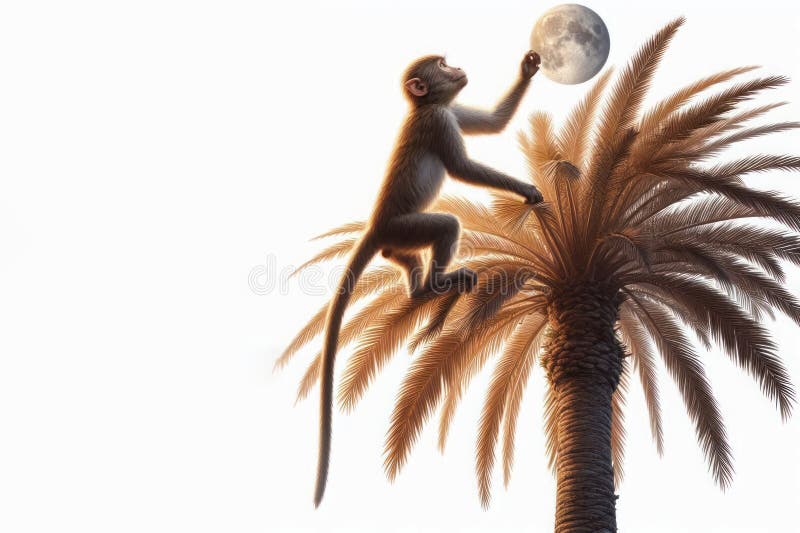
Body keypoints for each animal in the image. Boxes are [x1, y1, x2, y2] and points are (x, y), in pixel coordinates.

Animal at [313, 50, 544, 507]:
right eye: (441, 64)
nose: (457, 67)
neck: (424, 106)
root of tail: (377, 226)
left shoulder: (448, 110)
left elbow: (493, 122)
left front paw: (528, 68)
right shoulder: (438, 120)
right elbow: (463, 167)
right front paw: (525, 189)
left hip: (398, 238)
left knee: (400, 255)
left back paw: (418, 286)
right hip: (406, 226)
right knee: (445, 226)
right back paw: (435, 284)